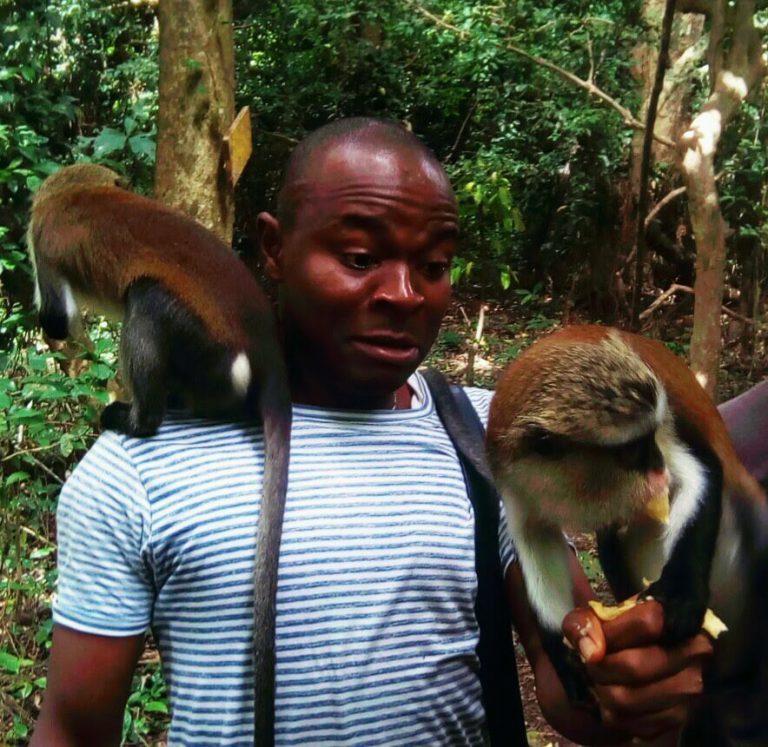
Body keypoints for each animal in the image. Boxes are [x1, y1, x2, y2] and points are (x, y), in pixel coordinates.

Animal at [27, 163, 290, 745]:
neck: (84, 189)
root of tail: (266, 350)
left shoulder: (43, 239)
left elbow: (57, 318)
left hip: (209, 358)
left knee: (146, 298)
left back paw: (138, 417)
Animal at [486, 325, 766, 741]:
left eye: (648, 441)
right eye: (633, 450)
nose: (657, 468)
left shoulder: (667, 426)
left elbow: (701, 471)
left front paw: (680, 592)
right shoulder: (514, 479)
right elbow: (535, 539)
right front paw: (566, 658)